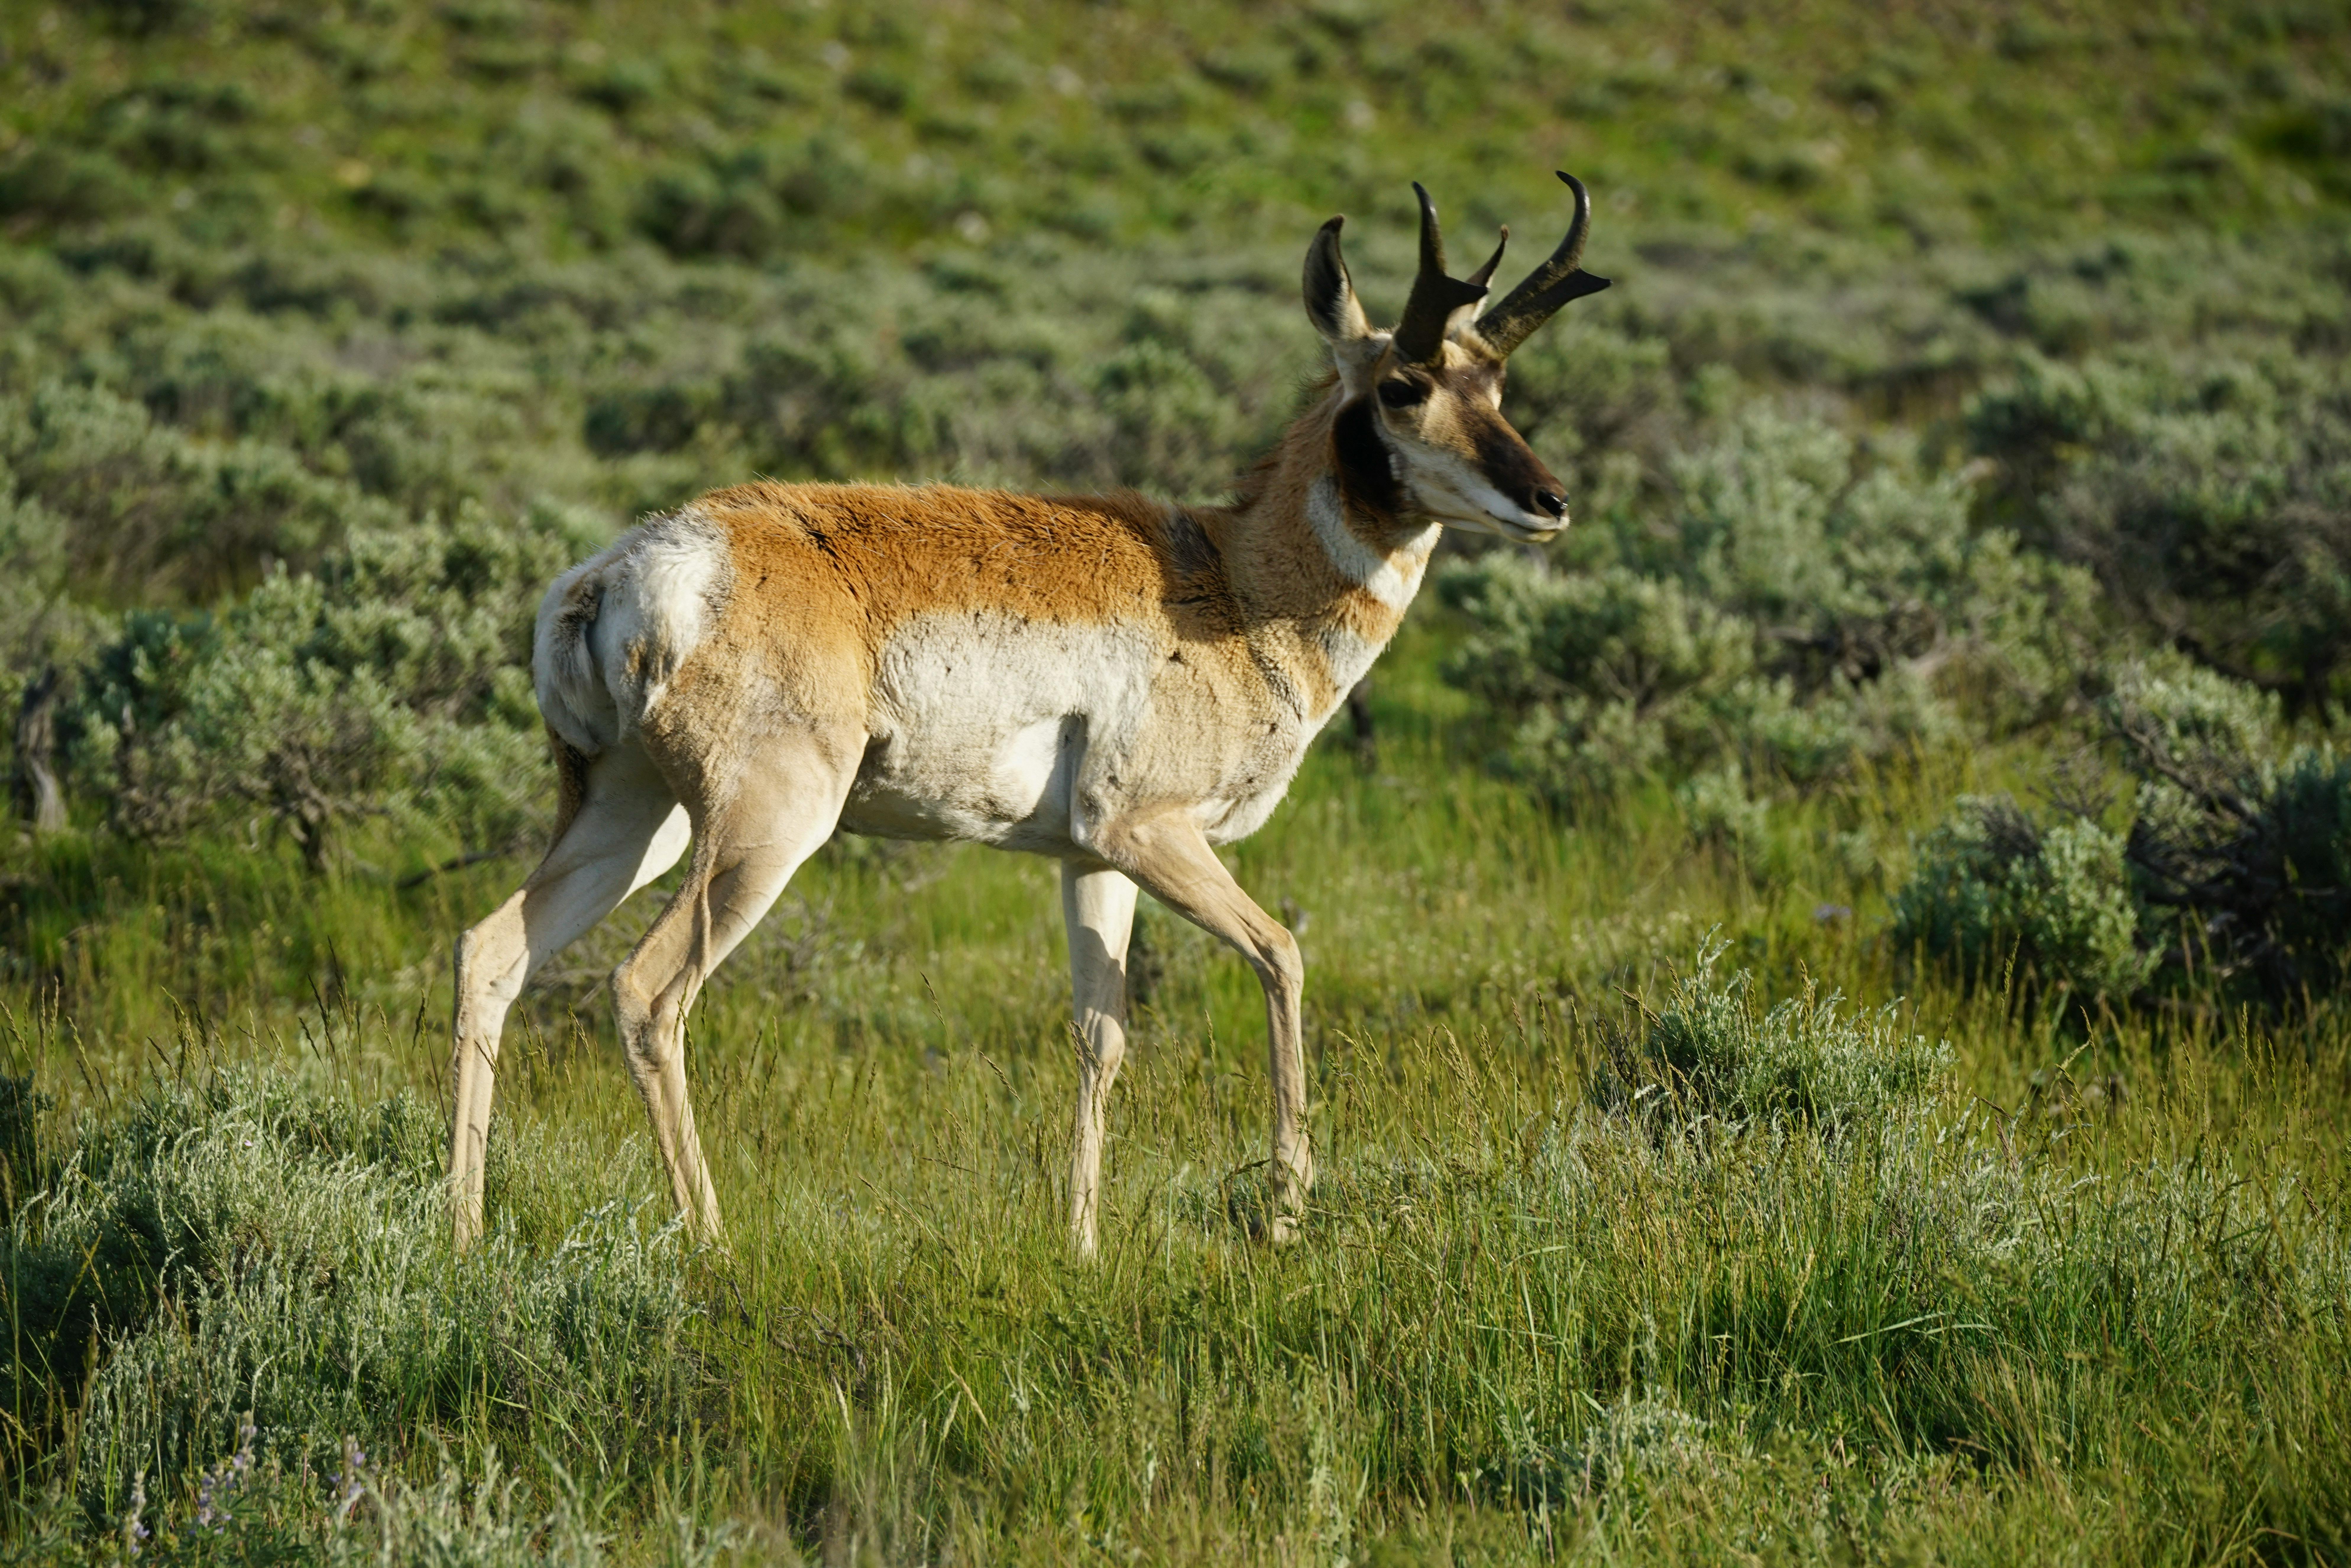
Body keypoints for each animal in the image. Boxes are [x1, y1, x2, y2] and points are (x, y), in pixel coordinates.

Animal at [447, 173, 1610, 1253]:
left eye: (1497, 382)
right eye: (1406, 384)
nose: (1550, 502)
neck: (1233, 580)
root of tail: (629, 565)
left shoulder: (1092, 860)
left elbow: (1101, 1034)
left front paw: (1083, 1245)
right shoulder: (1148, 830)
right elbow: (1282, 953)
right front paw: (1285, 1211)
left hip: (633, 816)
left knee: (492, 950)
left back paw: (463, 1232)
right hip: (762, 831)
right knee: (648, 992)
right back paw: (714, 1242)